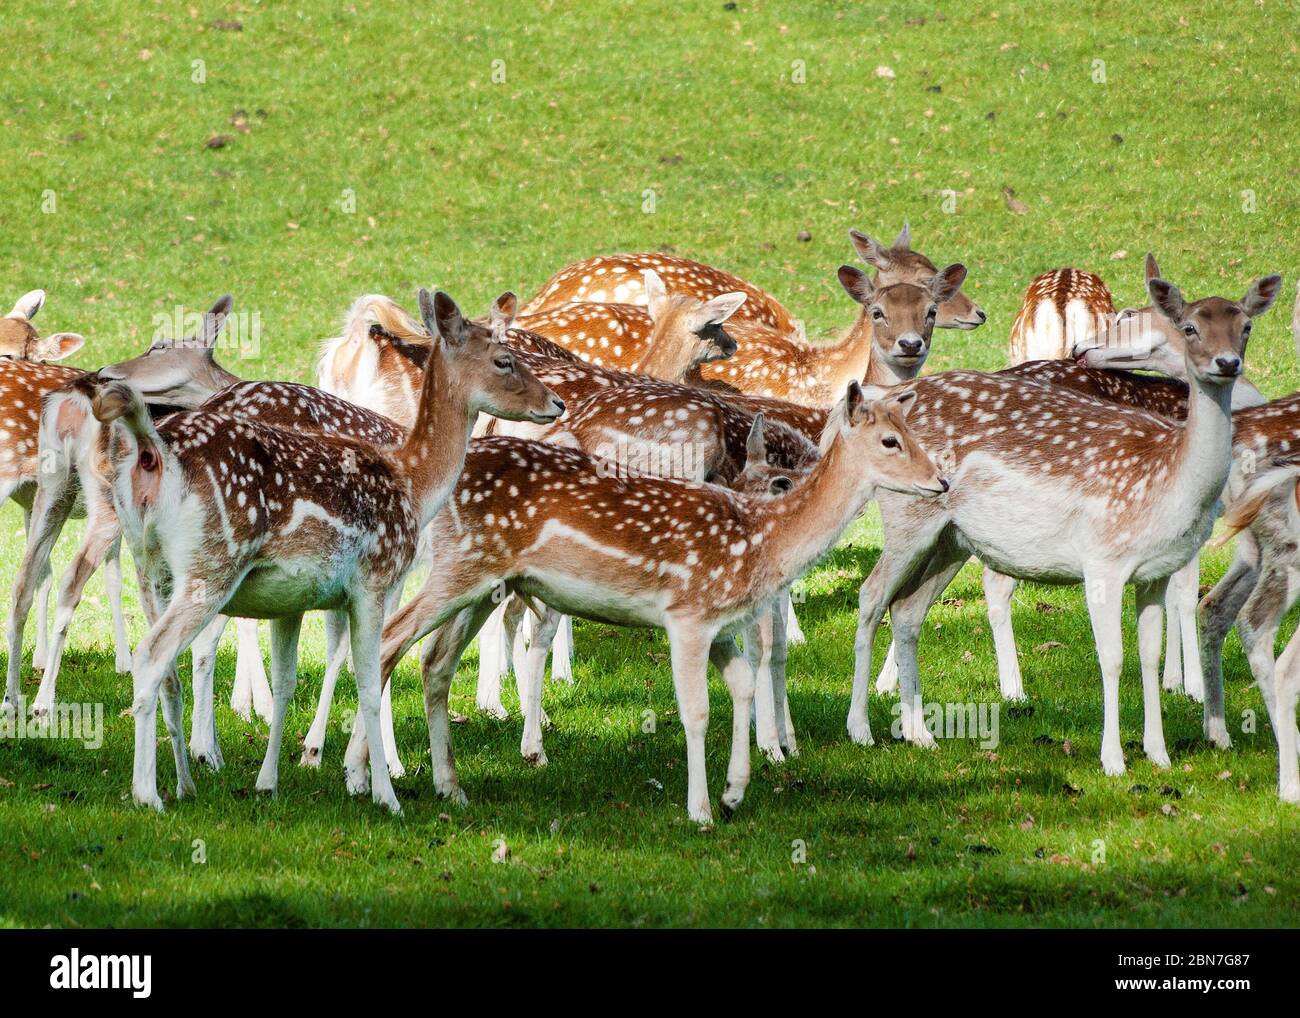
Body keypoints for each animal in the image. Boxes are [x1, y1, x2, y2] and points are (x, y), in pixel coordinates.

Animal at [87, 289, 563, 811]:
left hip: (149, 564)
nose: (556, 402)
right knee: (157, 654)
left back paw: (185, 781)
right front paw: (382, 787)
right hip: (212, 565)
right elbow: (370, 677)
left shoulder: (294, 596)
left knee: (165, 663)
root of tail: (152, 452)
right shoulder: (378, 577)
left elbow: (292, 679)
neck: (414, 483)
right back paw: (151, 791)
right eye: (504, 360)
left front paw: (275, 779)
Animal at [336, 382, 946, 825]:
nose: (940, 480)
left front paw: (735, 793)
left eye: (912, 432)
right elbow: (696, 710)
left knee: (434, 660)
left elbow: (743, 687)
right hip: (460, 566)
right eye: (890, 442)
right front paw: (701, 811)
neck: (761, 541)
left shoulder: (721, 625)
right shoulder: (688, 613)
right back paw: (367, 781)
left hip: (486, 583)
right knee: (390, 640)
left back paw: (446, 787)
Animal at [844, 268, 1281, 776]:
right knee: (874, 595)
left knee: (909, 608)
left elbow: (1149, 651)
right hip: (908, 518)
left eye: (1246, 326)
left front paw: (1160, 752)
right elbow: (1119, 653)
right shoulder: (1104, 563)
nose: (1226, 362)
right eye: (1189, 326)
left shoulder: (1160, 564)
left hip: (952, 539)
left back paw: (920, 733)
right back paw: (863, 728)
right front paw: (1120, 754)